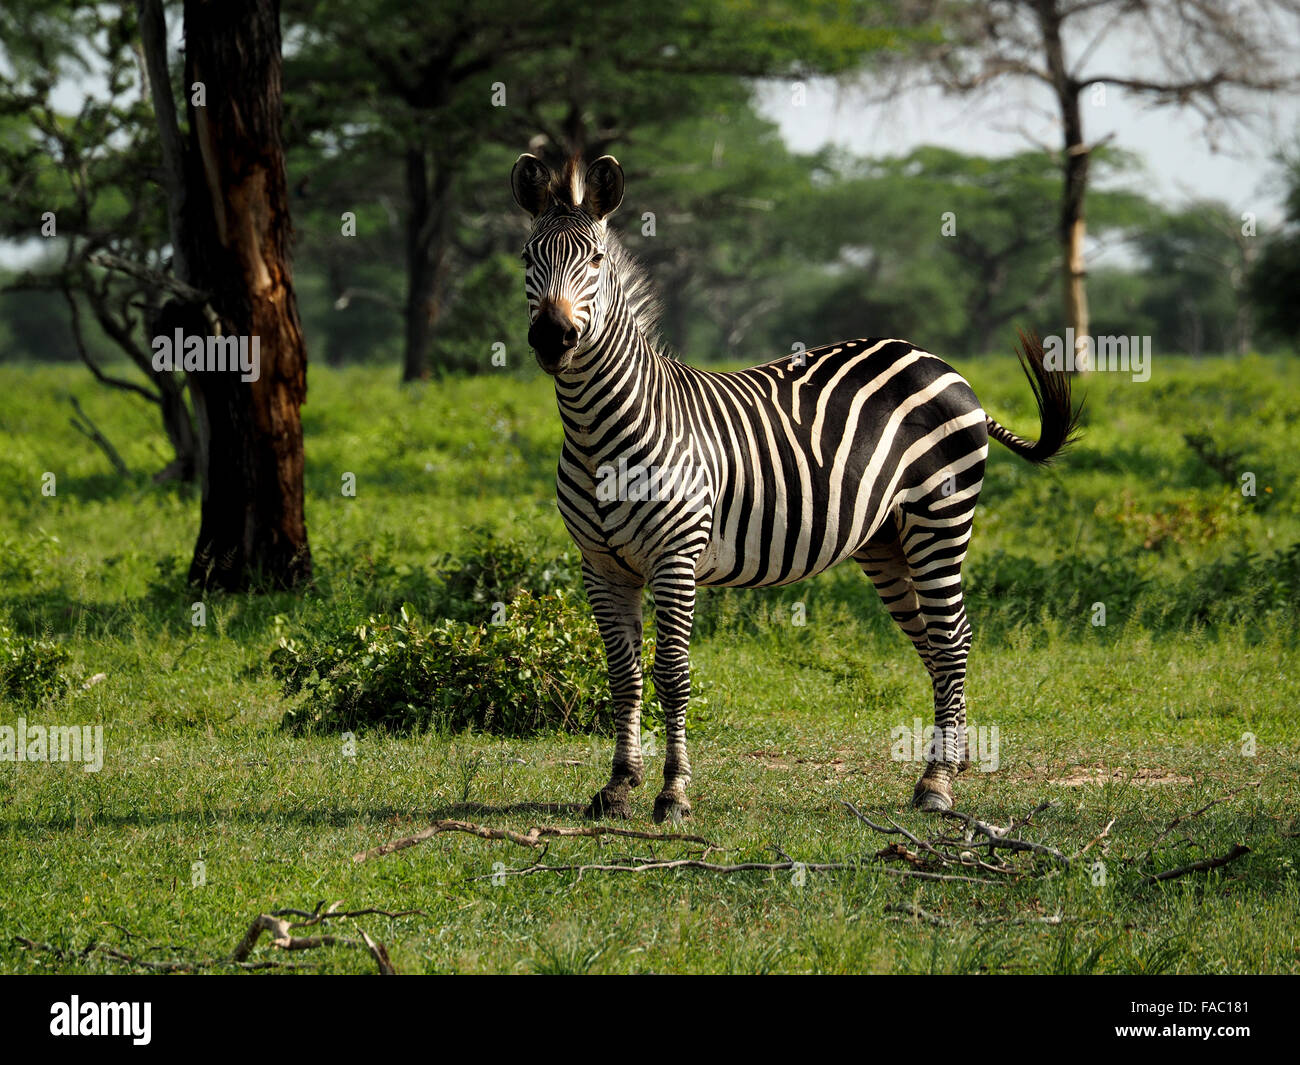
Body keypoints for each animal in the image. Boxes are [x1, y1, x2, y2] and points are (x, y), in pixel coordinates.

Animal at [510, 152, 1079, 822]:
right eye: (527, 257)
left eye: (596, 259)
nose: (553, 338)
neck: (598, 430)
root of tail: (935, 361)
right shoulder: (600, 564)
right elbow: (622, 676)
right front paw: (619, 785)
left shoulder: (676, 556)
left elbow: (671, 673)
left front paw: (673, 792)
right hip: (884, 542)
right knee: (935, 639)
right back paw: (955, 759)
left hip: (940, 521)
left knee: (951, 636)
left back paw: (937, 783)